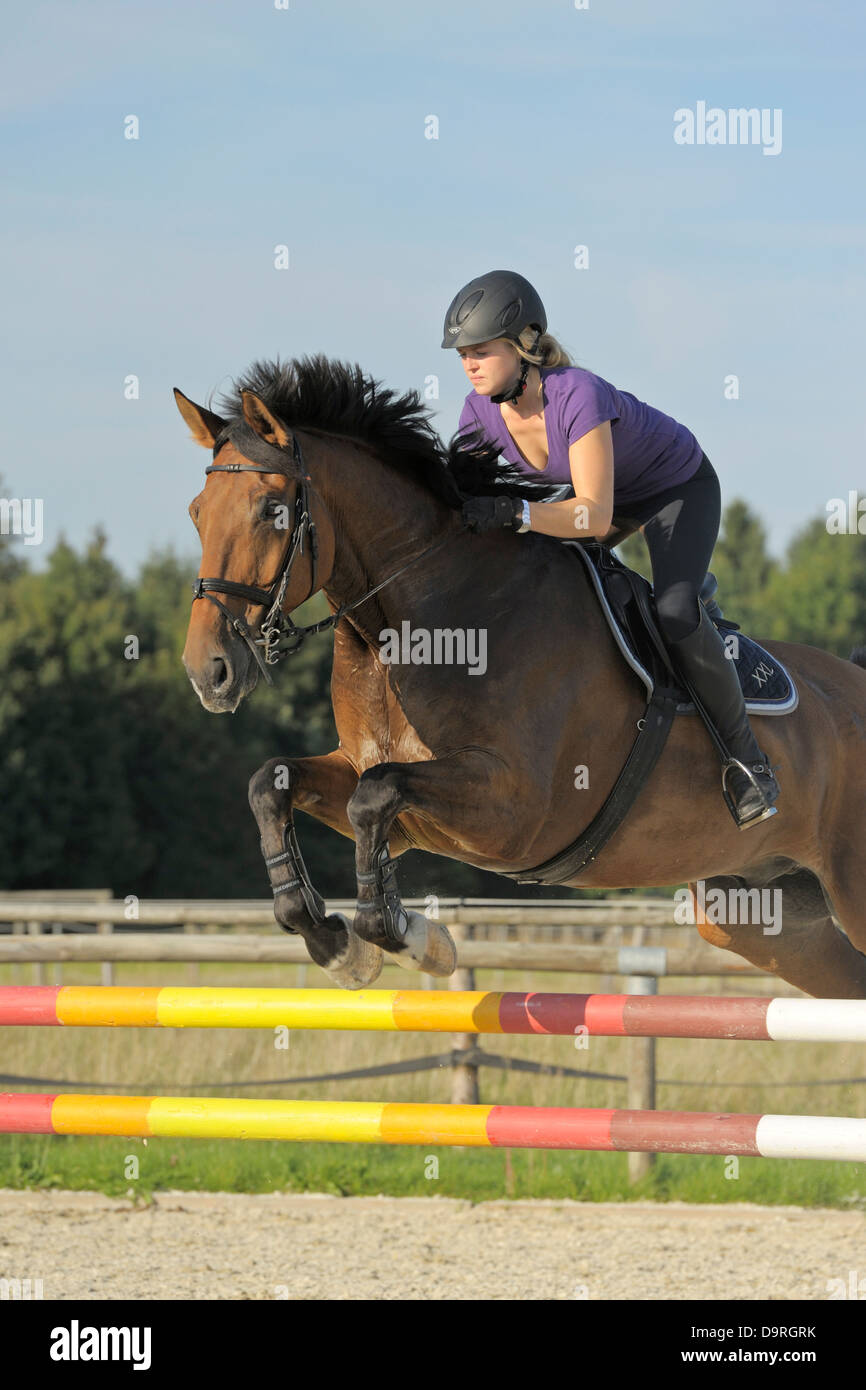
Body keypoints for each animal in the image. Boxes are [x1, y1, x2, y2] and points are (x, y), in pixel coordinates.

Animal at [176, 354, 866, 997]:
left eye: (273, 510)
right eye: (196, 512)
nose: (208, 672)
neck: (419, 619)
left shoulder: (514, 813)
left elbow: (376, 793)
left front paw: (413, 942)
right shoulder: (378, 789)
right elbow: (274, 784)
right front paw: (342, 947)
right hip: (760, 914)